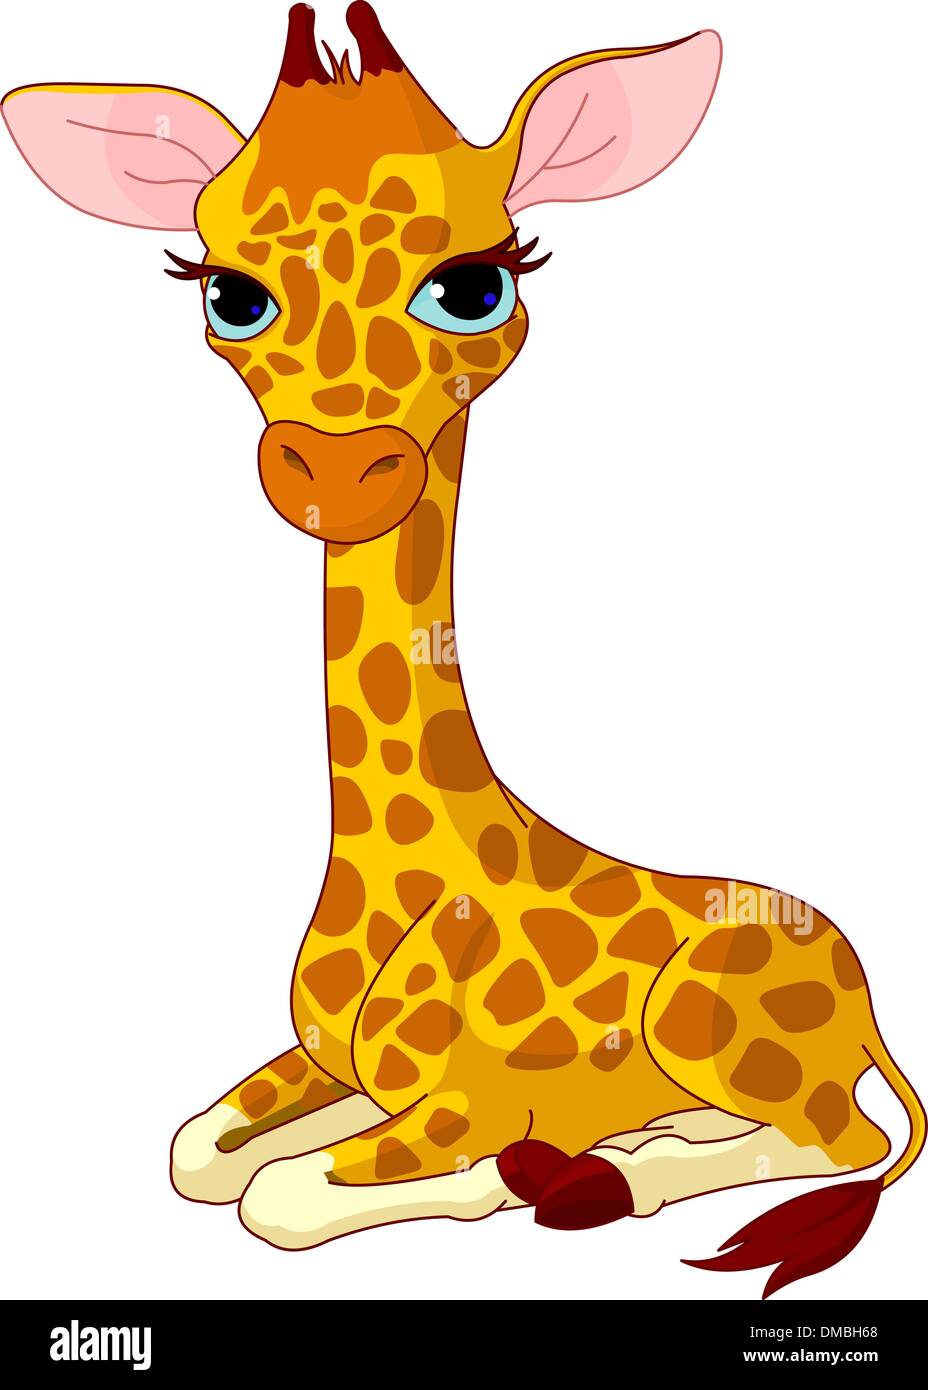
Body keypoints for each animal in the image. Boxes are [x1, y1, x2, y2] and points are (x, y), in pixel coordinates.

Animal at [4, 3, 922, 1297]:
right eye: (228, 294)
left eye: (475, 285)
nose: (339, 475)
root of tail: (867, 992)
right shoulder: (317, 1058)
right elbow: (201, 1149)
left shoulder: (465, 1102)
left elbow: (283, 1197)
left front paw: (516, 1174)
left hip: (707, 1027)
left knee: (839, 1134)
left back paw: (611, 1169)